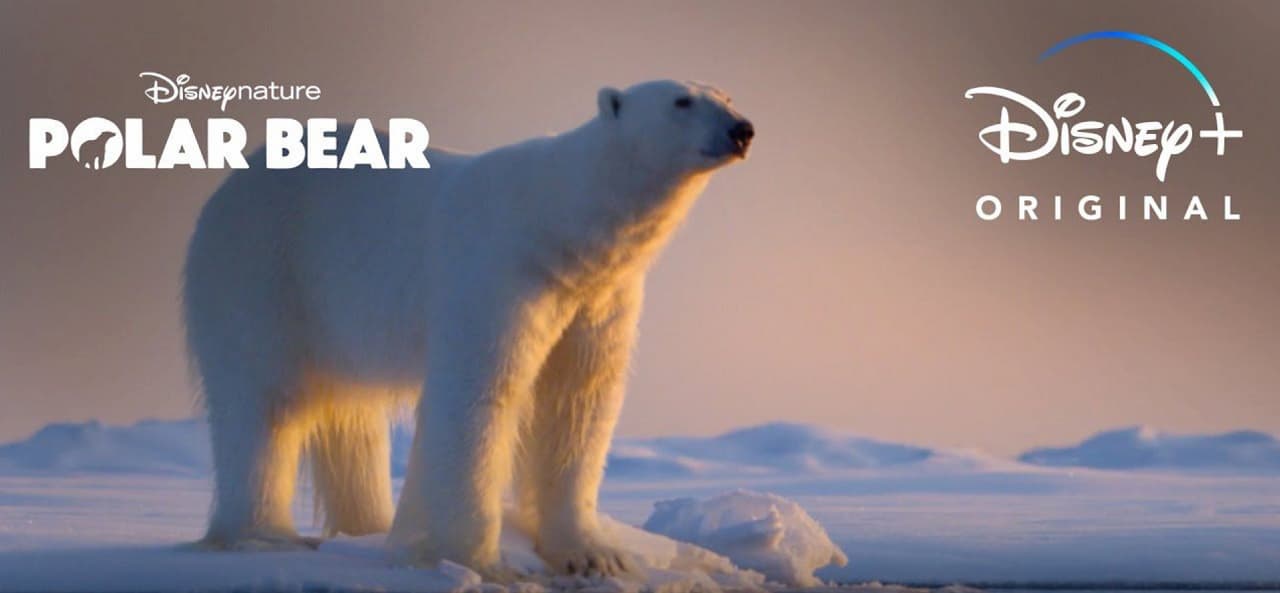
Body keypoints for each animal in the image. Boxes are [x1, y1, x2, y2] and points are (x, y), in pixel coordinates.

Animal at [182, 79, 753, 578]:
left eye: (725, 95)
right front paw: (473, 558)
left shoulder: (597, 296)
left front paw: (593, 554)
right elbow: (480, 391)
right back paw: (262, 535)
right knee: (264, 399)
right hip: (263, 270)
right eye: (682, 100)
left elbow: (578, 399)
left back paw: (368, 527)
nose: (742, 128)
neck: (558, 225)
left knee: (352, 415)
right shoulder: (498, 271)